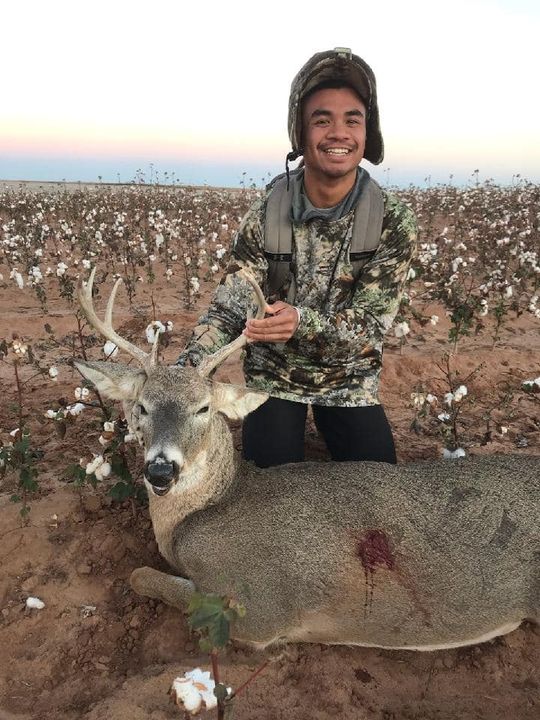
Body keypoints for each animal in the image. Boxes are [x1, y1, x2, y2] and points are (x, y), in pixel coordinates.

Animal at [74, 268, 539, 651]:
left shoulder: (256, 608)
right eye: (141, 407)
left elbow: (140, 575)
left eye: (203, 408)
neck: (210, 506)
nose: (160, 469)